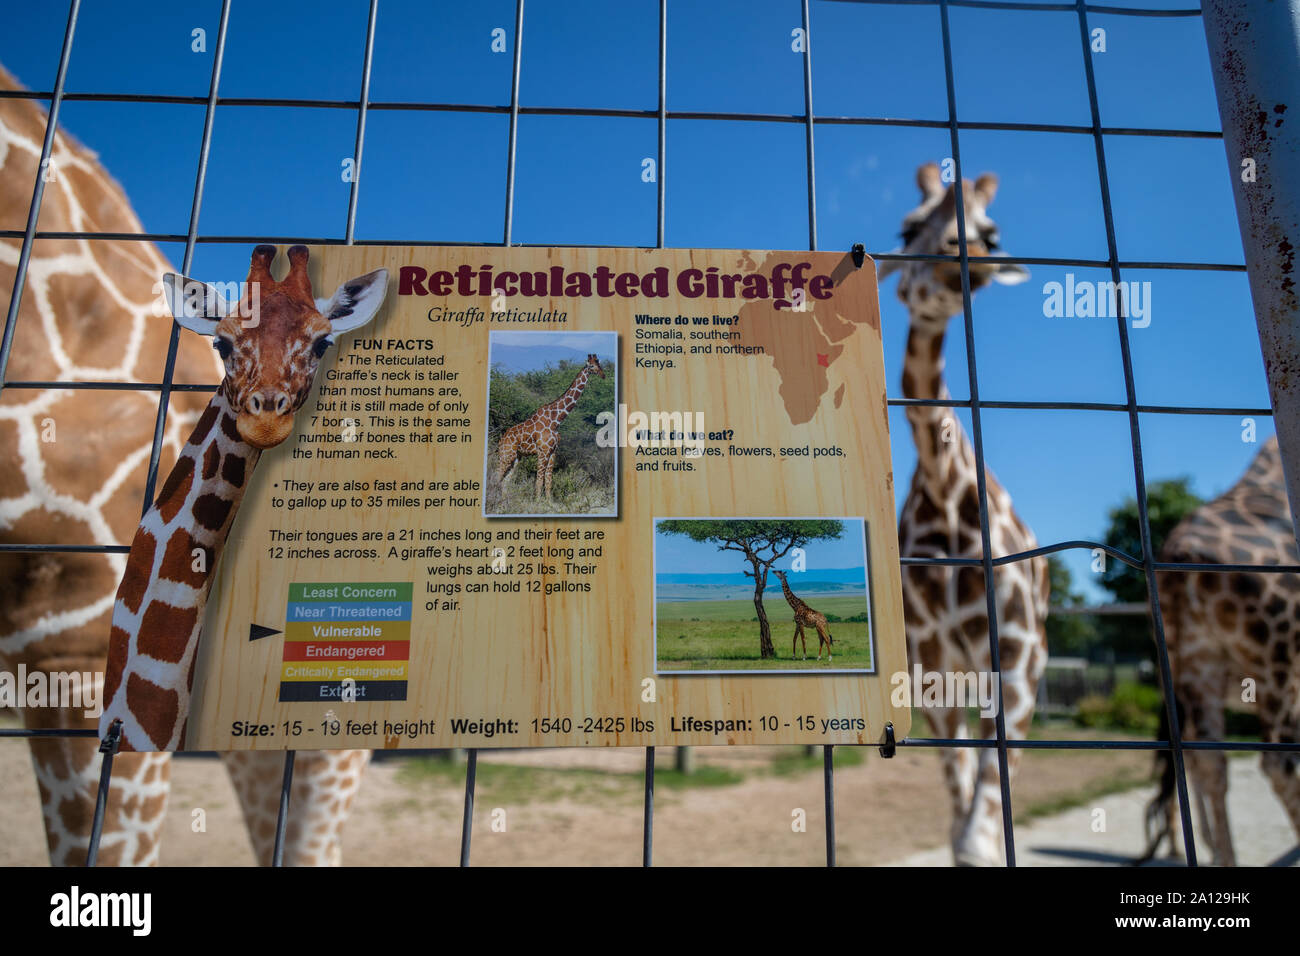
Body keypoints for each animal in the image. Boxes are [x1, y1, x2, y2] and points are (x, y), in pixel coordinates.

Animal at [493, 353, 604, 500]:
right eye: (591, 366)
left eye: (599, 363)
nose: (603, 375)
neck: (556, 420)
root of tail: (501, 439)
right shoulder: (543, 452)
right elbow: (539, 480)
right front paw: (537, 502)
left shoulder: (553, 452)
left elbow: (549, 480)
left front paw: (549, 502)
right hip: (506, 455)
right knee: (497, 476)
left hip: (516, 457)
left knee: (506, 480)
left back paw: (504, 501)